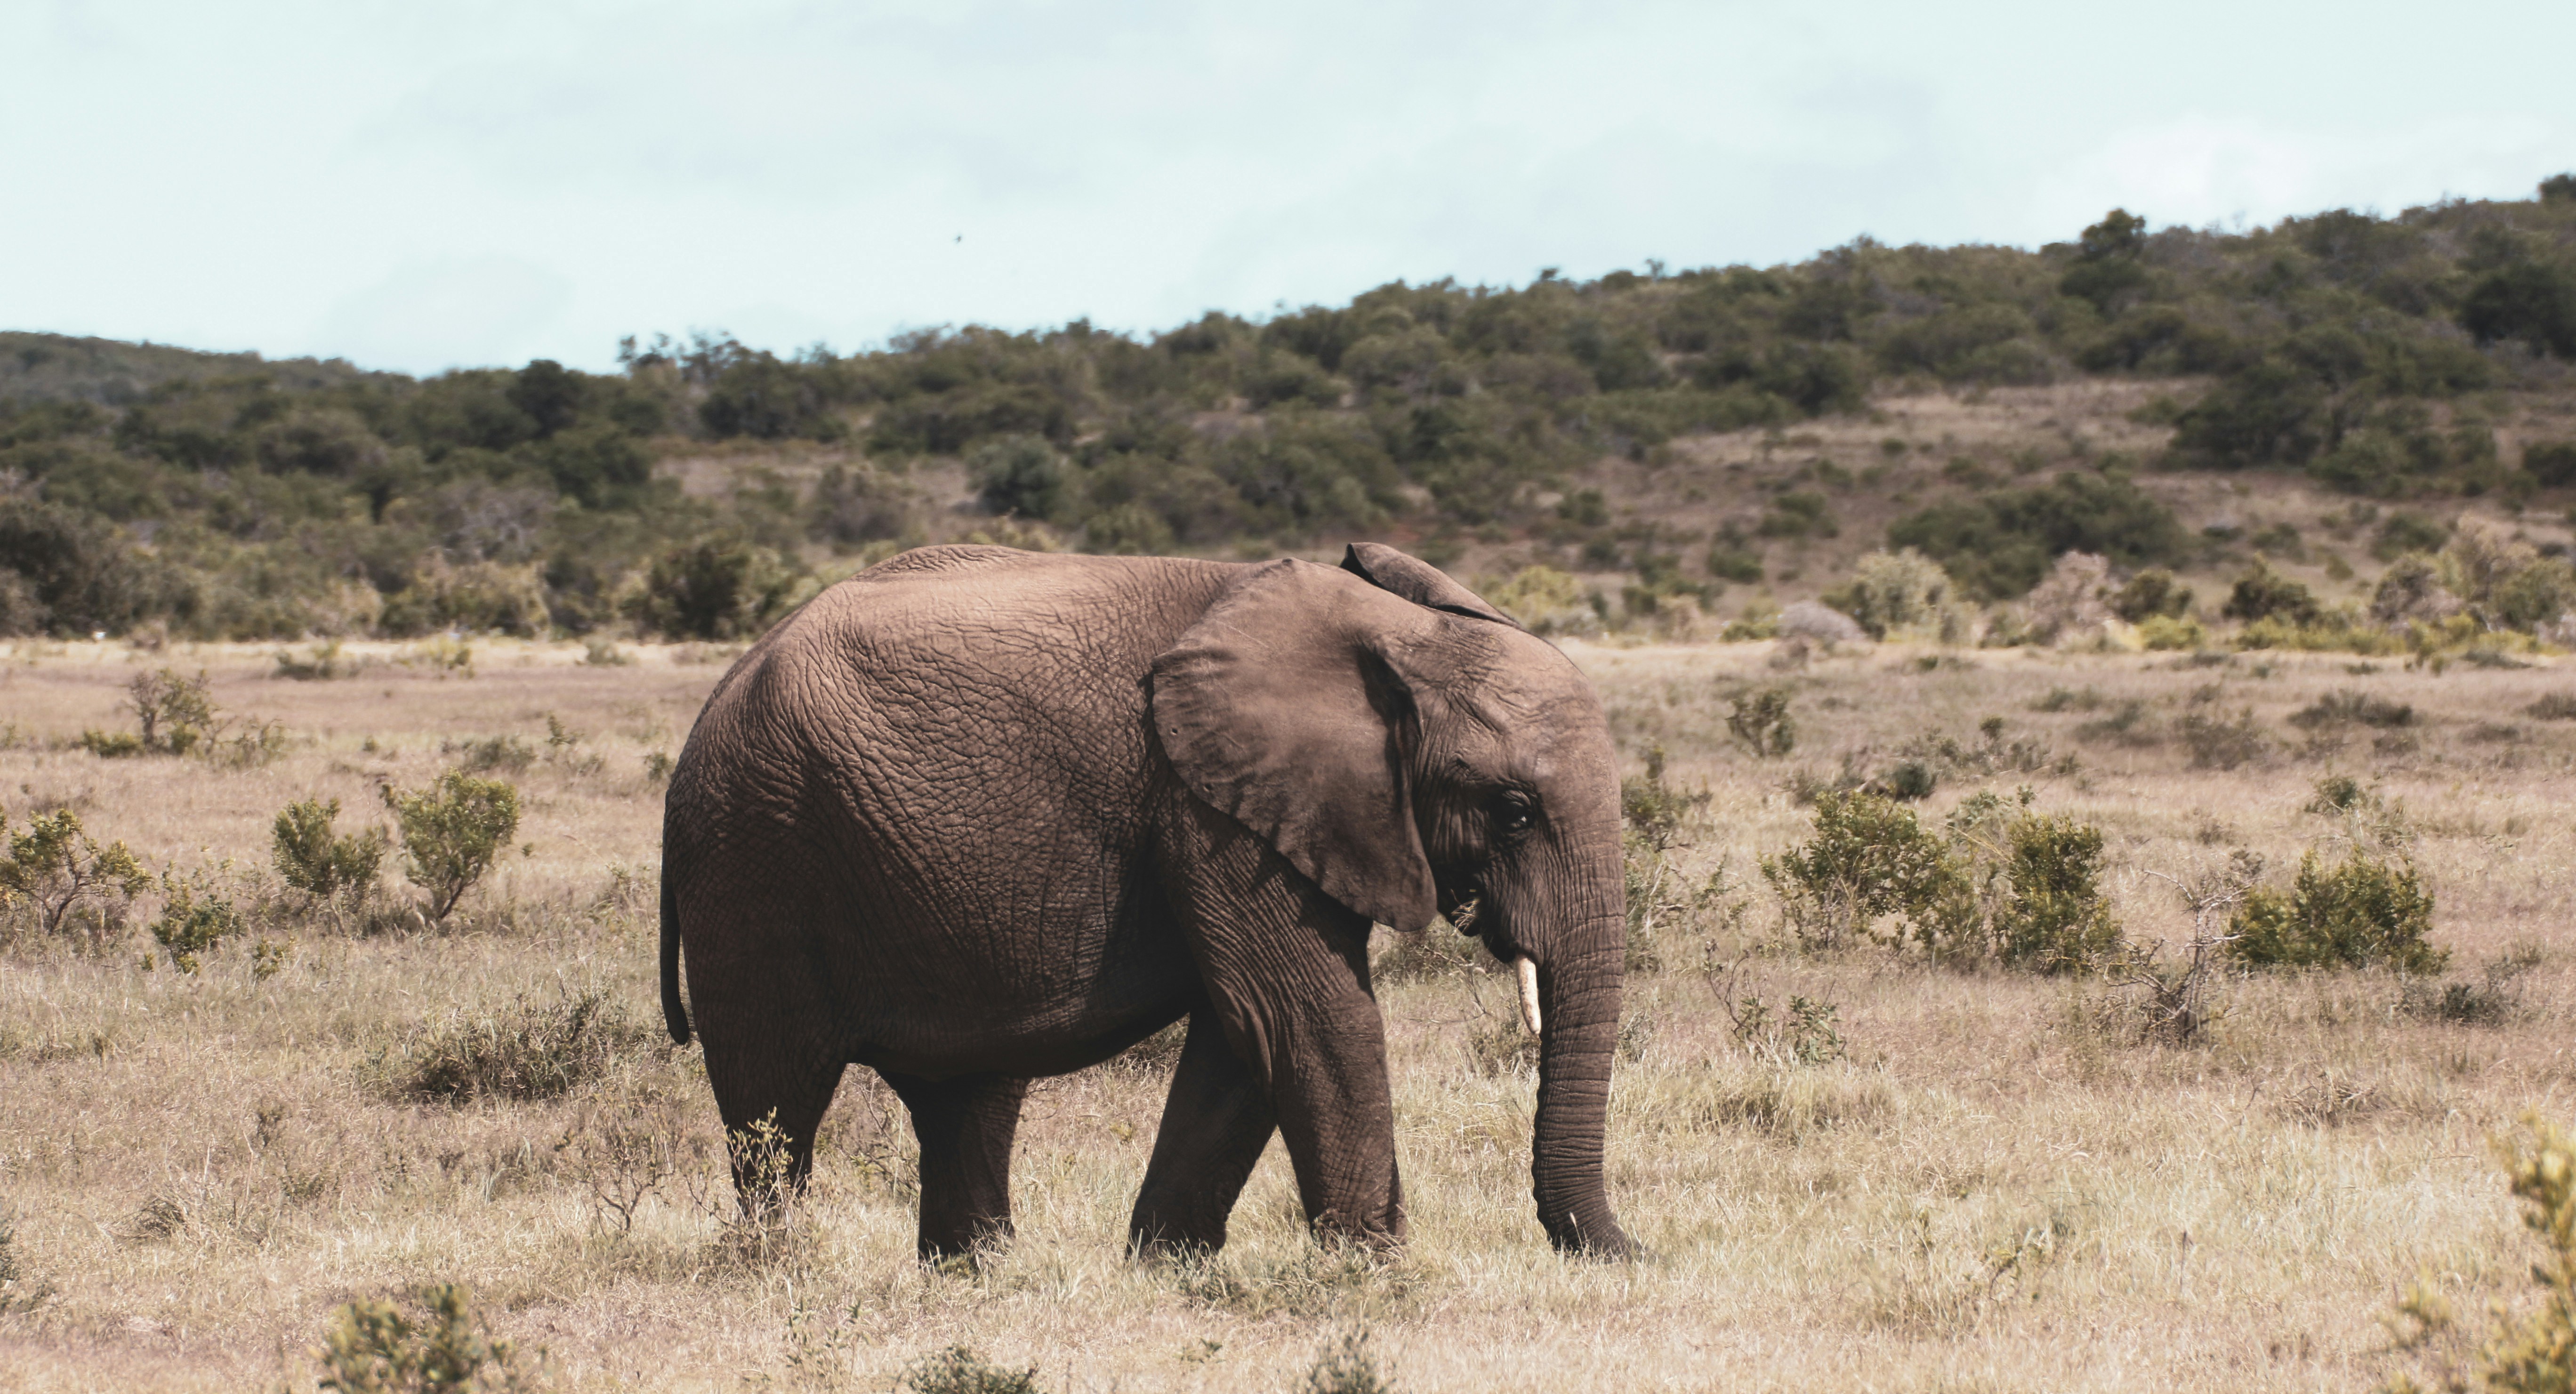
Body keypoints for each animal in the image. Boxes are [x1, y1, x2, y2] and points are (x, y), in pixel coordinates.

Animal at [659, 541, 1635, 1261]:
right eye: (1513, 812)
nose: (1627, 1253)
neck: (1393, 634)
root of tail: (721, 691)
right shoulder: (1211, 807)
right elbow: (1303, 1015)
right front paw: (1375, 1270)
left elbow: (1244, 1039)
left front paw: (1170, 1266)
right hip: (756, 855)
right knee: (774, 1103)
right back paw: (783, 1268)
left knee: (968, 1096)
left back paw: (976, 1272)